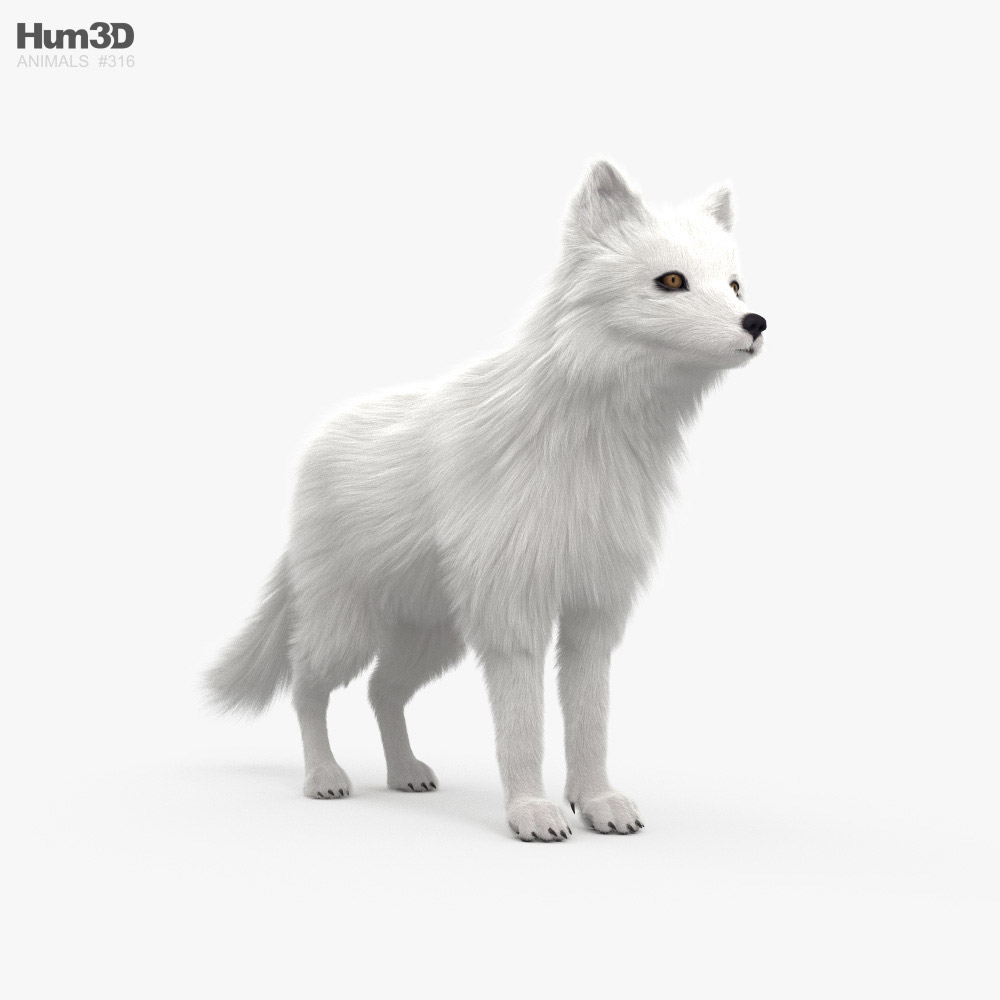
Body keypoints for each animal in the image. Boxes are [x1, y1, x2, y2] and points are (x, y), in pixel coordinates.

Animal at [206, 161, 766, 841]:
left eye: (734, 285)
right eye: (672, 281)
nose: (757, 322)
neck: (590, 443)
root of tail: (319, 441)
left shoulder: (594, 609)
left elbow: (590, 721)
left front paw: (597, 801)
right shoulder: (513, 613)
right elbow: (522, 727)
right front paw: (531, 812)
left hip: (432, 633)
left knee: (381, 691)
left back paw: (405, 772)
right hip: (349, 626)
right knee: (307, 686)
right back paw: (324, 776)